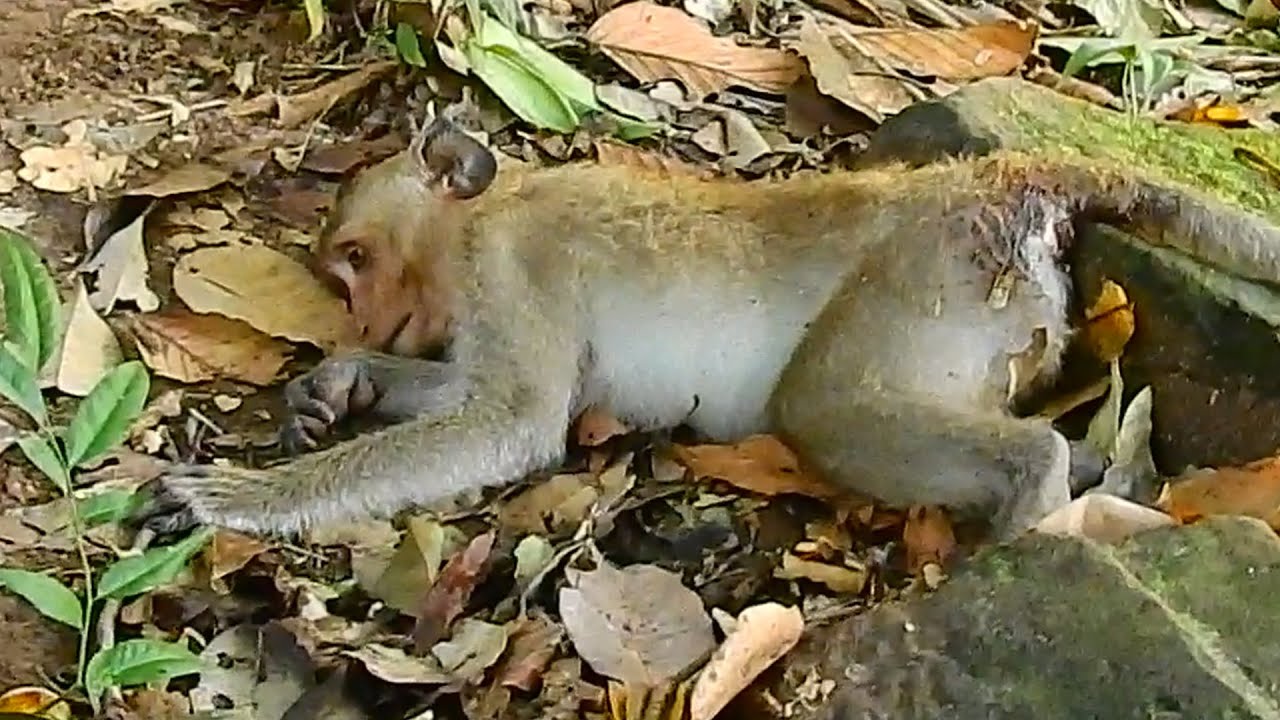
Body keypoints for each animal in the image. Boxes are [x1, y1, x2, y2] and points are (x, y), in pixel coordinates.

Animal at [130, 117, 1280, 539]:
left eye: (355, 260)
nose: (361, 317)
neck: (495, 210)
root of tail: (993, 178)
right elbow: (477, 397)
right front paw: (340, 387)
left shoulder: (518, 263)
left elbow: (512, 426)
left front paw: (236, 496)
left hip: (932, 271)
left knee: (824, 403)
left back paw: (1030, 506)